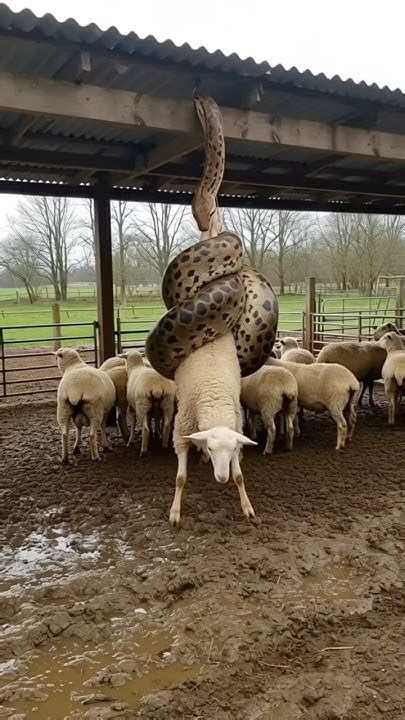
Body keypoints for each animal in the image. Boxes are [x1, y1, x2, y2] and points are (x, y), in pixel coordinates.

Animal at [170, 333, 257, 527]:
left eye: (232, 449)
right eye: (211, 448)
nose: (223, 478)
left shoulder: (237, 435)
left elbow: (239, 476)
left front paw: (247, 508)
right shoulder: (180, 434)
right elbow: (180, 478)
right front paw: (175, 513)